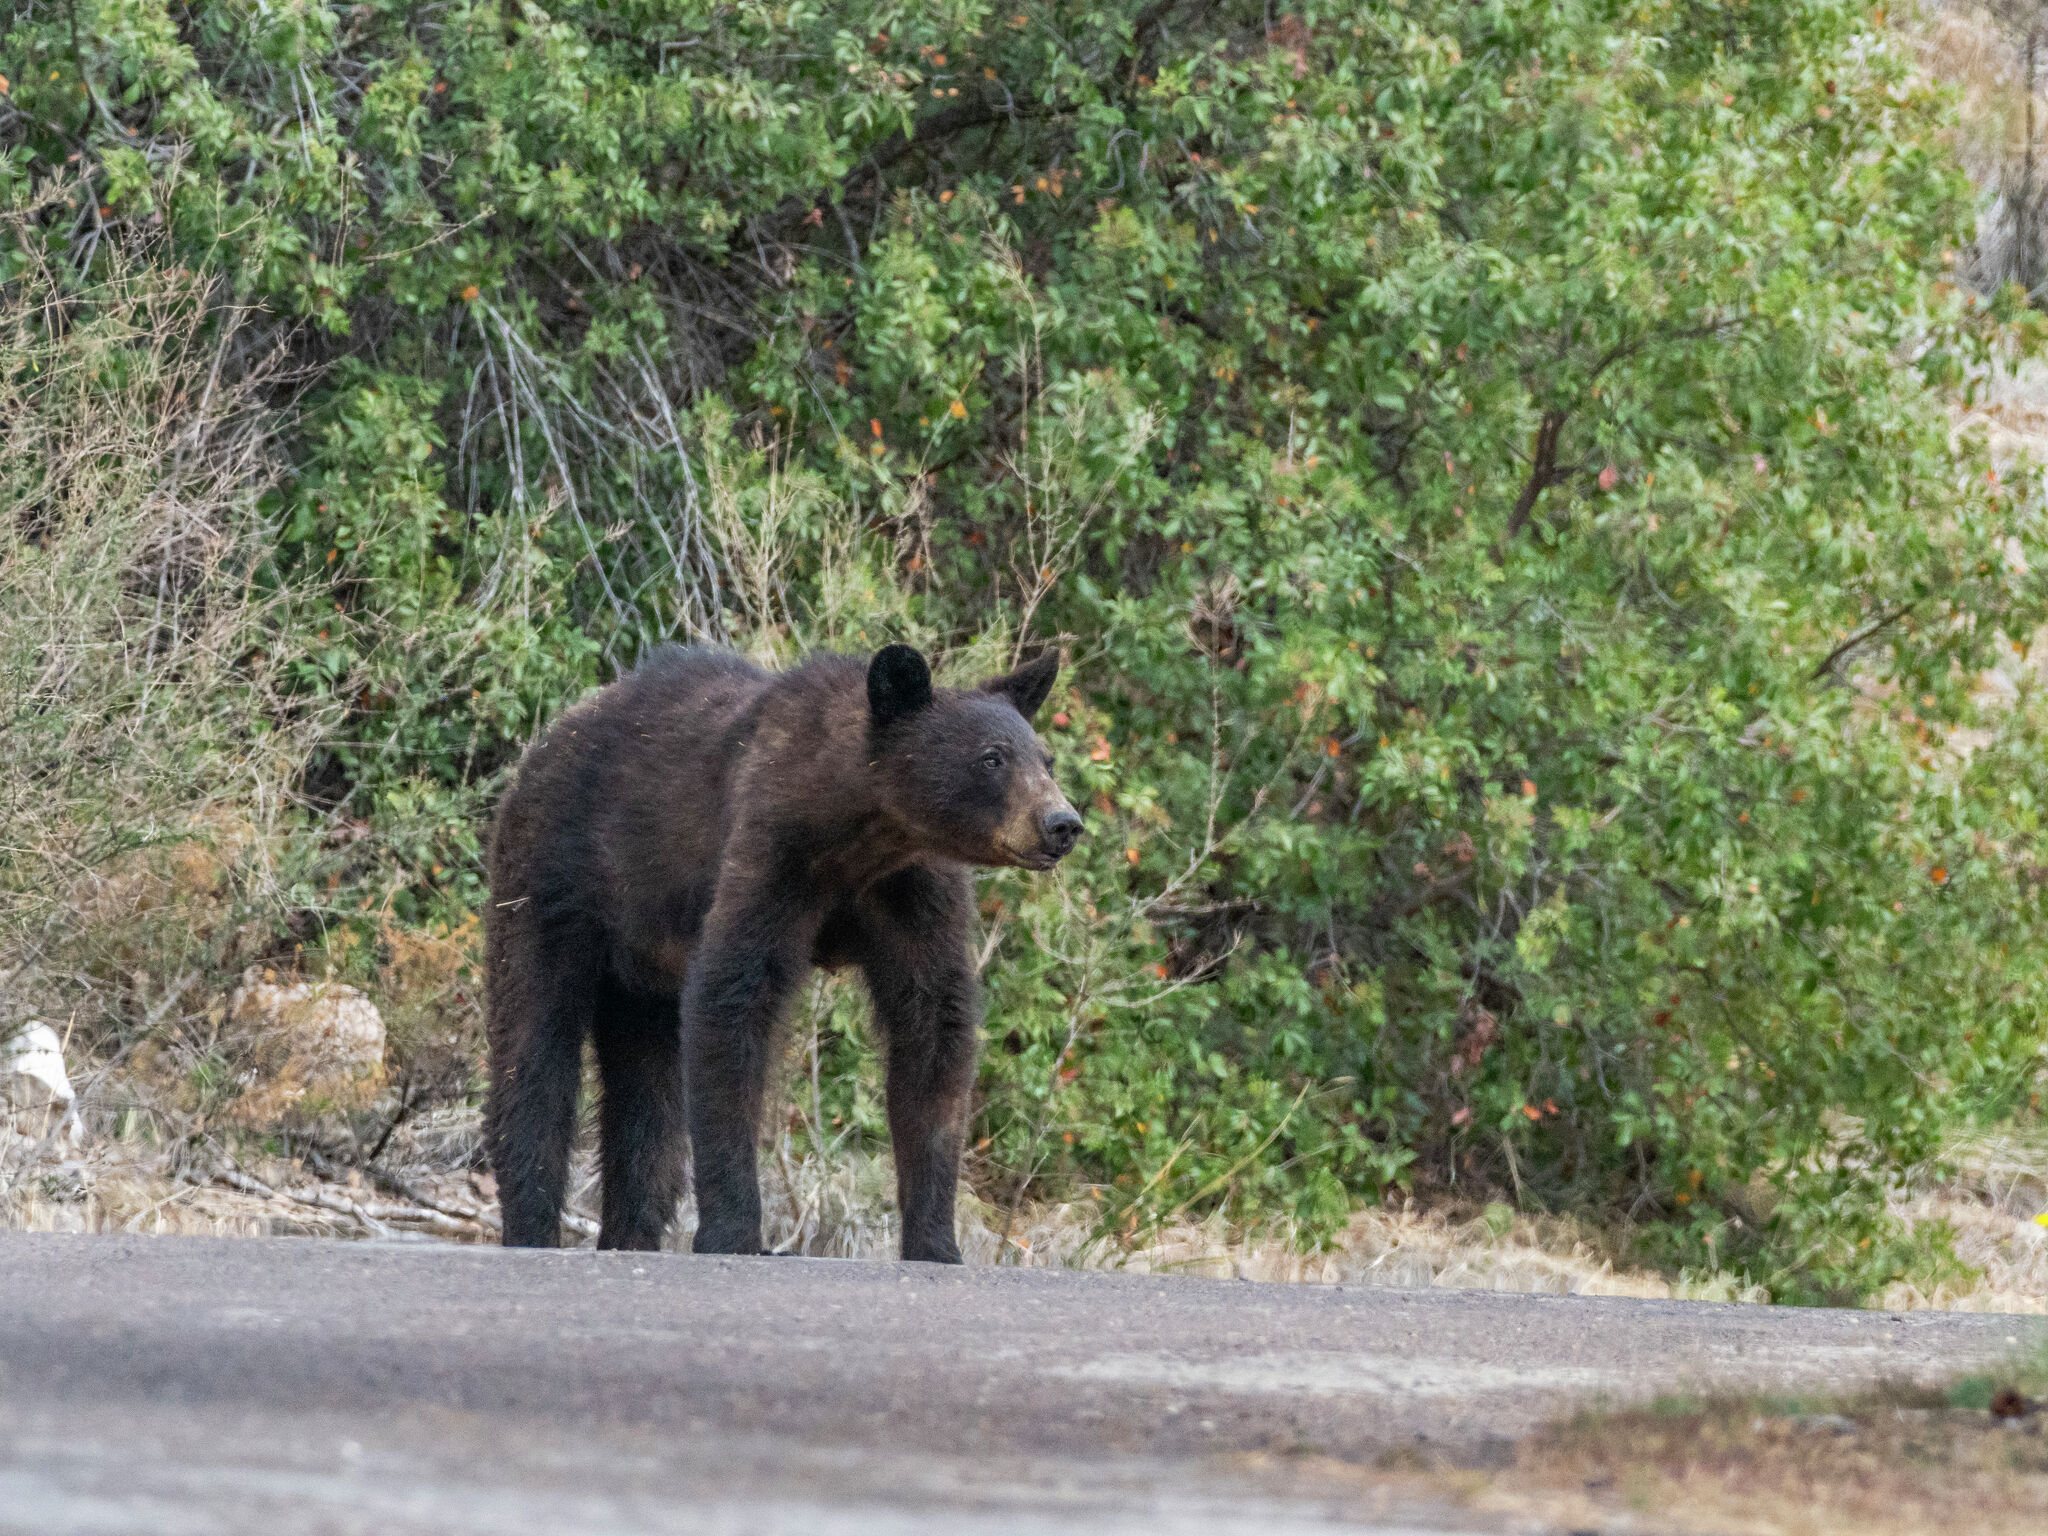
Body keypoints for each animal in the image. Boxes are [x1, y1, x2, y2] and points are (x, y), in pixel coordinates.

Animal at [483, 642, 1082, 1261]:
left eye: (1046, 760)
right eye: (992, 758)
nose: (1062, 823)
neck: (862, 836)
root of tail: (547, 740)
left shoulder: (912, 891)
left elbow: (934, 1025)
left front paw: (936, 1242)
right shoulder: (772, 852)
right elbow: (733, 999)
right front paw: (734, 1232)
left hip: (644, 965)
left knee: (648, 1096)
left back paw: (631, 1236)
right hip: (554, 882)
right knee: (533, 1047)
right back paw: (531, 1226)